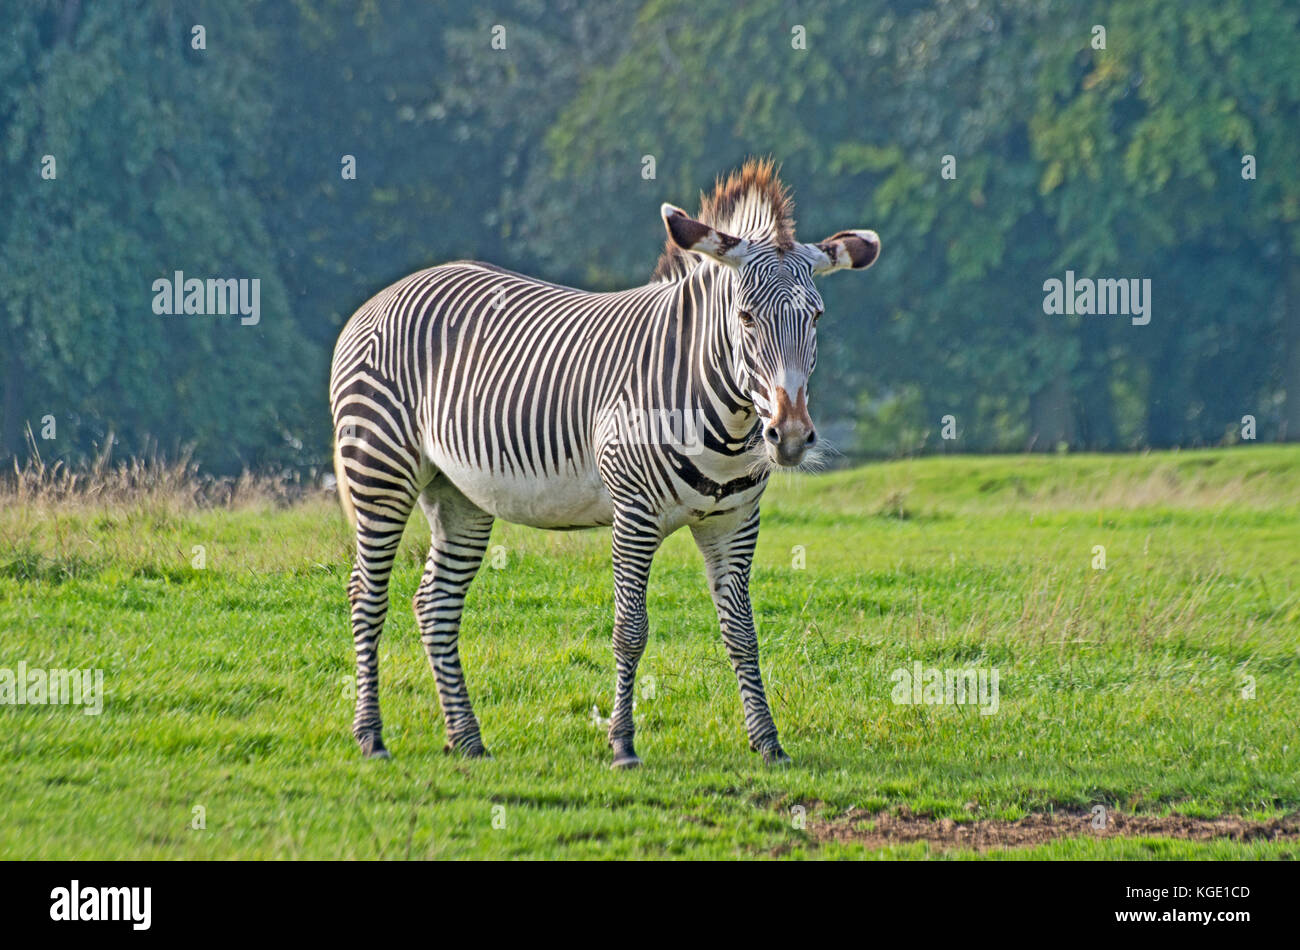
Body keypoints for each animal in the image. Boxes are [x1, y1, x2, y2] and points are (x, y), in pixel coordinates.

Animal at [330, 159, 879, 768]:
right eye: (746, 317)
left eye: (817, 318)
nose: (790, 438)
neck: (726, 423)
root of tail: (388, 293)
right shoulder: (633, 515)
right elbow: (630, 630)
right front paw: (623, 744)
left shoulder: (733, 523)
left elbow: (742, 632)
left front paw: (768, 743)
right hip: (378, 469)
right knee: (366, 594)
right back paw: (371, 737)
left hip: (459, 496)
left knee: (435, 604)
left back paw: (467, 739)